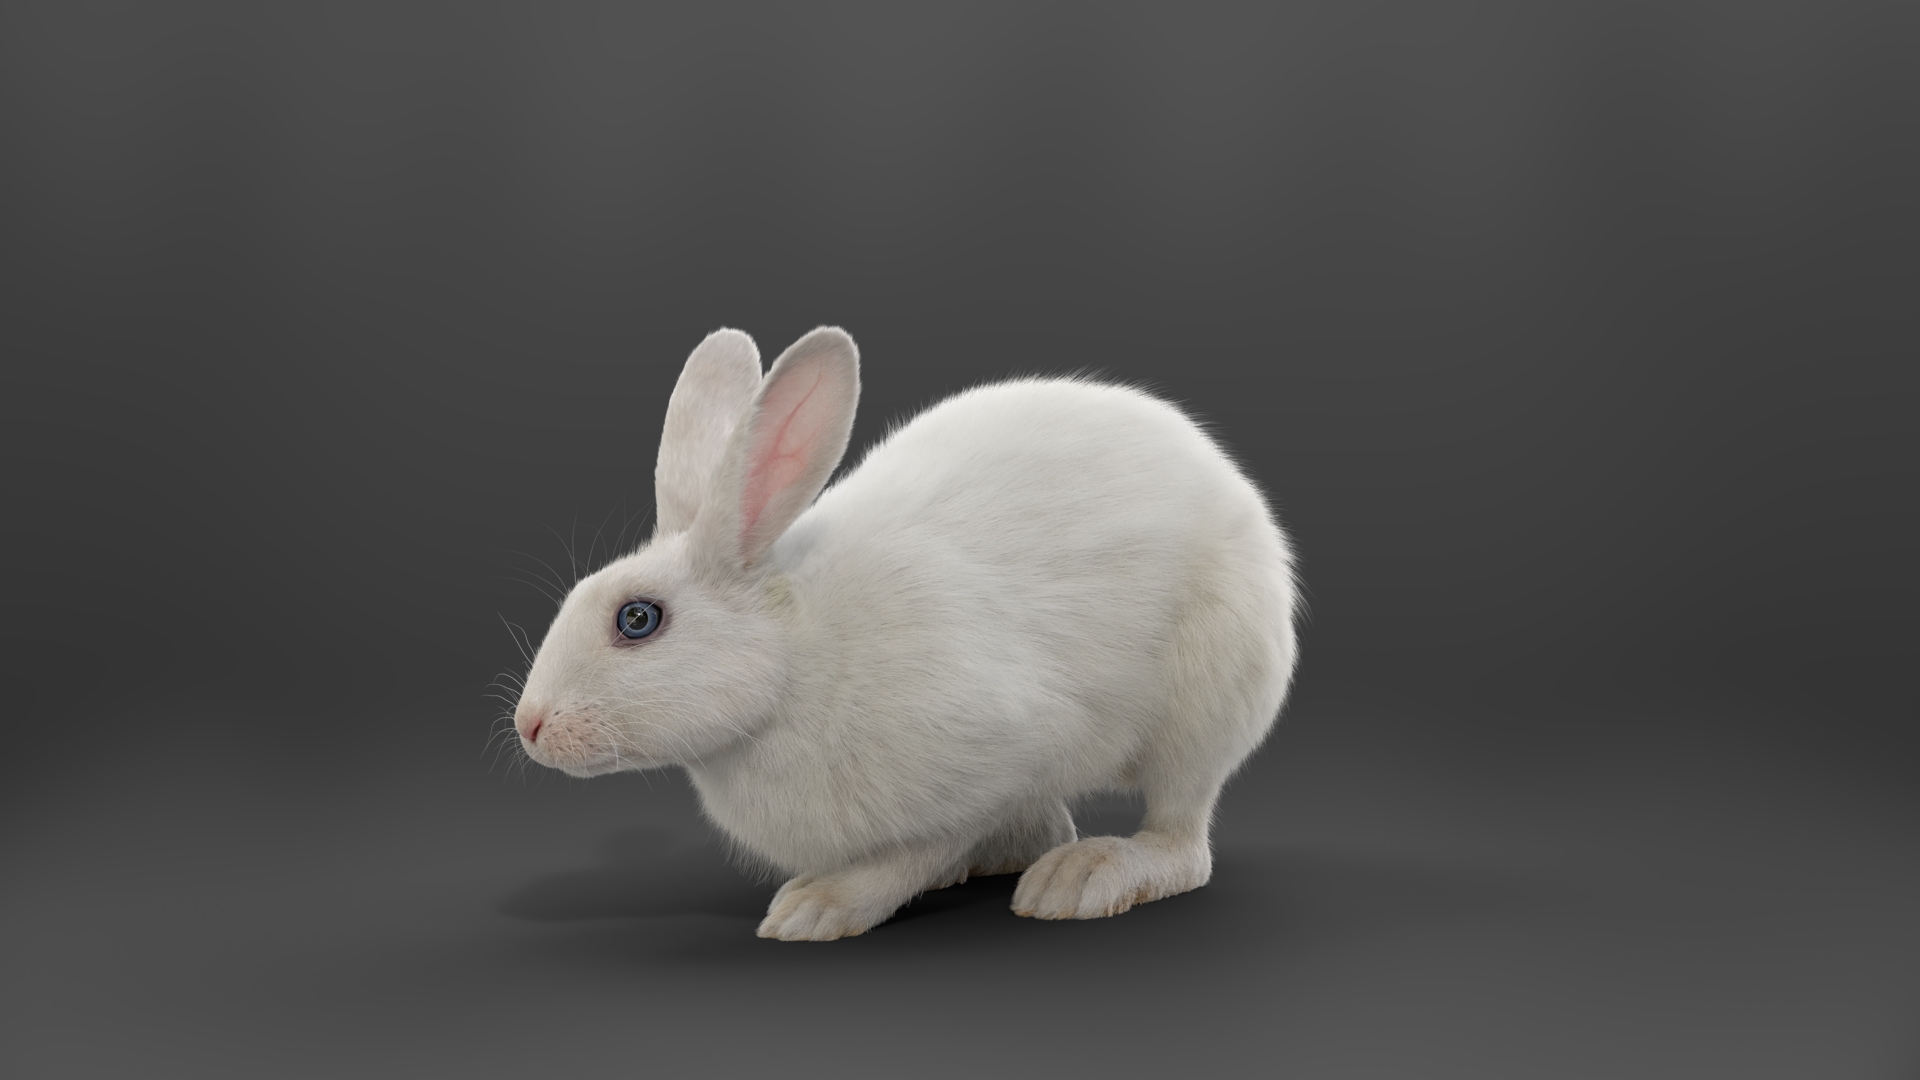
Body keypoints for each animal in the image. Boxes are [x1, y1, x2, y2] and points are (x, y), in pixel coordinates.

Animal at [511, 326, 1298, 940]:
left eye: (637, 619)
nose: (530, 727)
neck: (794, 666)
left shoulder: (995, 753)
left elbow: (911, 852)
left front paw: (814, 908)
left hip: (1207, 700)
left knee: (1181, 835)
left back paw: (1082, 877)